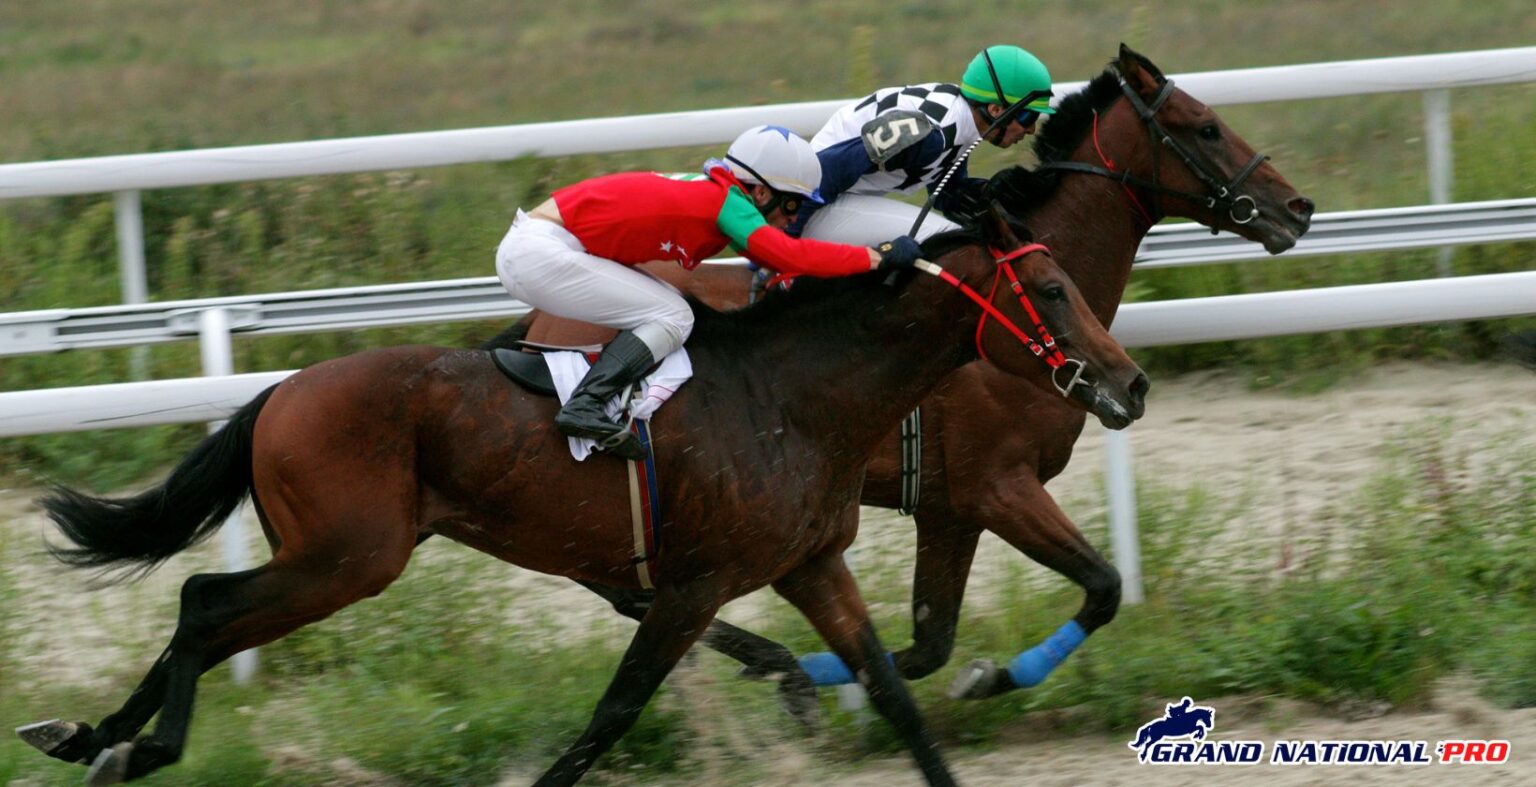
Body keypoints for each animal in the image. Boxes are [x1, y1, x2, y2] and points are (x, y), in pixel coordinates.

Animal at [17, 205, 1148, 786]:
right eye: (1052, 291)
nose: (1130, 382)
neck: (798, 394)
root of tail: (281, 393)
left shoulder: (810, 565)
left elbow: (899, 698)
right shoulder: (698, 583)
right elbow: (614, 711)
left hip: (336, 554)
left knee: (199, 613)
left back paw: (88, 736)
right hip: (350, 557)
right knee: (206, 603)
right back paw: (135, 745)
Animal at [497, 44, 1315, 716]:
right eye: (1205, 127)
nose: (1299, 208)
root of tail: (534, 323)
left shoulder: (950, 508)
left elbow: (930, 643)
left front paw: (918, 678)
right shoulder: (999, 485)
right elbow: (1103, 586)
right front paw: (935, 680)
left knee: (621, 587)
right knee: (621, 586)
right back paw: (769, 662)